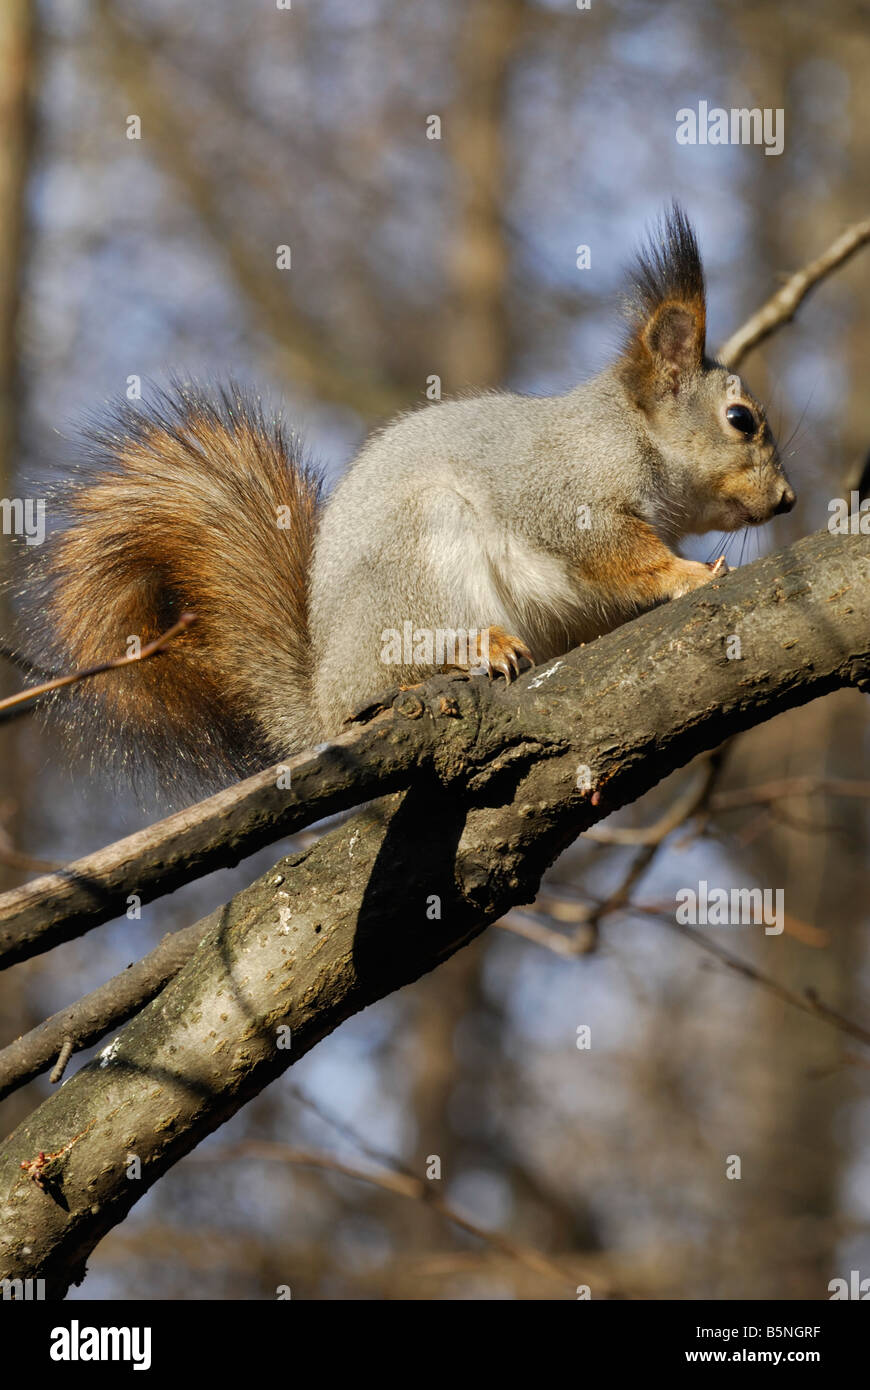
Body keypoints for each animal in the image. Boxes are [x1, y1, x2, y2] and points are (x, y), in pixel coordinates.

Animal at [22, 203, 795, 793]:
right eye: (740, 420)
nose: (788, 500)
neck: (625, 432)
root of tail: (322, 697)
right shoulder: (561, 494)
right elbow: (614, 551)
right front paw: (688, 573)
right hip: (422, 558)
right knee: (390, 677)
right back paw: (472, 647)